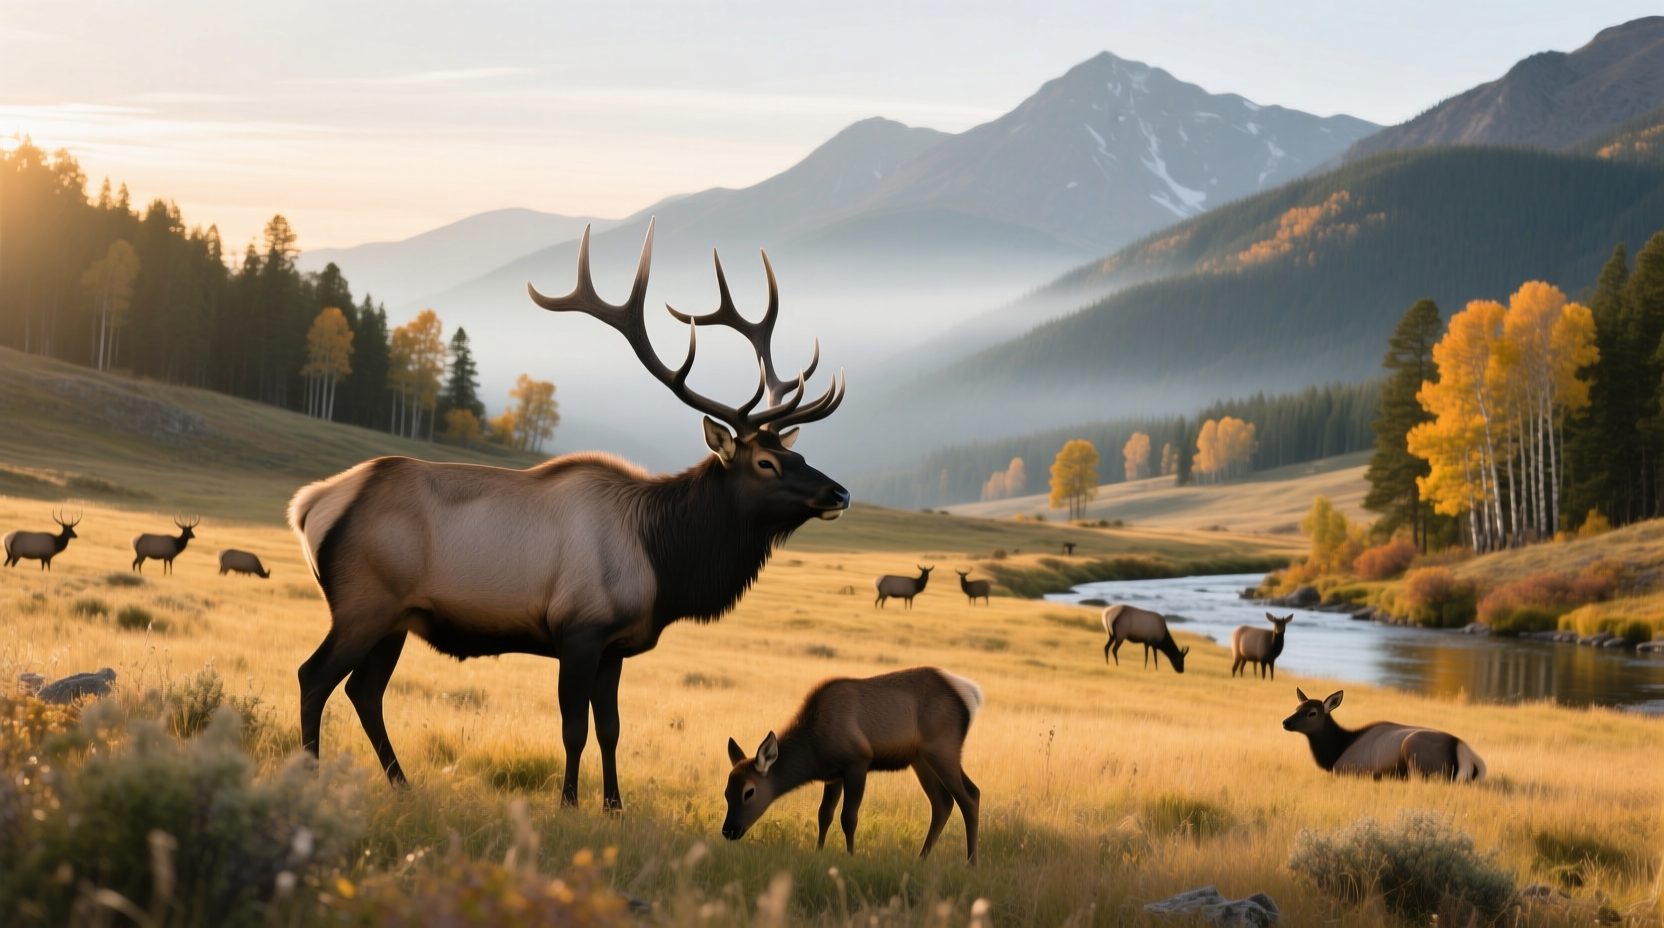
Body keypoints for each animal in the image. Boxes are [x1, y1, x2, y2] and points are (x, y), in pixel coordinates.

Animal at [287, 220, 848, 809]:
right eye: (766, 462)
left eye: (797, 454)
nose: (839, 493)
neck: (663, 561)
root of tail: (309, 506)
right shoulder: (579, 628)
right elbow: (574, 728)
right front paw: (570, 802)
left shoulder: (614, 646)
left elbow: (611, 729)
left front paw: (615, 806)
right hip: (363, 602)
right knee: (315, 676)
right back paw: (311, 774)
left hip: (397, 615)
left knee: (363, 690)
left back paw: (401, 782)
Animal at [722, 667, 982, 866]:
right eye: (726, 792)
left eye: (749, 792)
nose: (728, 830)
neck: (816, 751)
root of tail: (971, 696)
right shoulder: (833, 775)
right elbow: (824, 814)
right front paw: (818, 852)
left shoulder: (857, 762)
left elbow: (848, 817)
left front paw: (850, 856)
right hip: (922, 759)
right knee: (943, 802)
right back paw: (922, 858)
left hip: (943, 749)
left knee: (970, 795)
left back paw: (971, 863)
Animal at [1283, 689, 1486, 782]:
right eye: (1297, 708)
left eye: (1312, 713)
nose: (1286, 722)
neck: (1336, 751)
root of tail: (1462, 749)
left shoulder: (1347, 769)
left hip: (1415, 754)